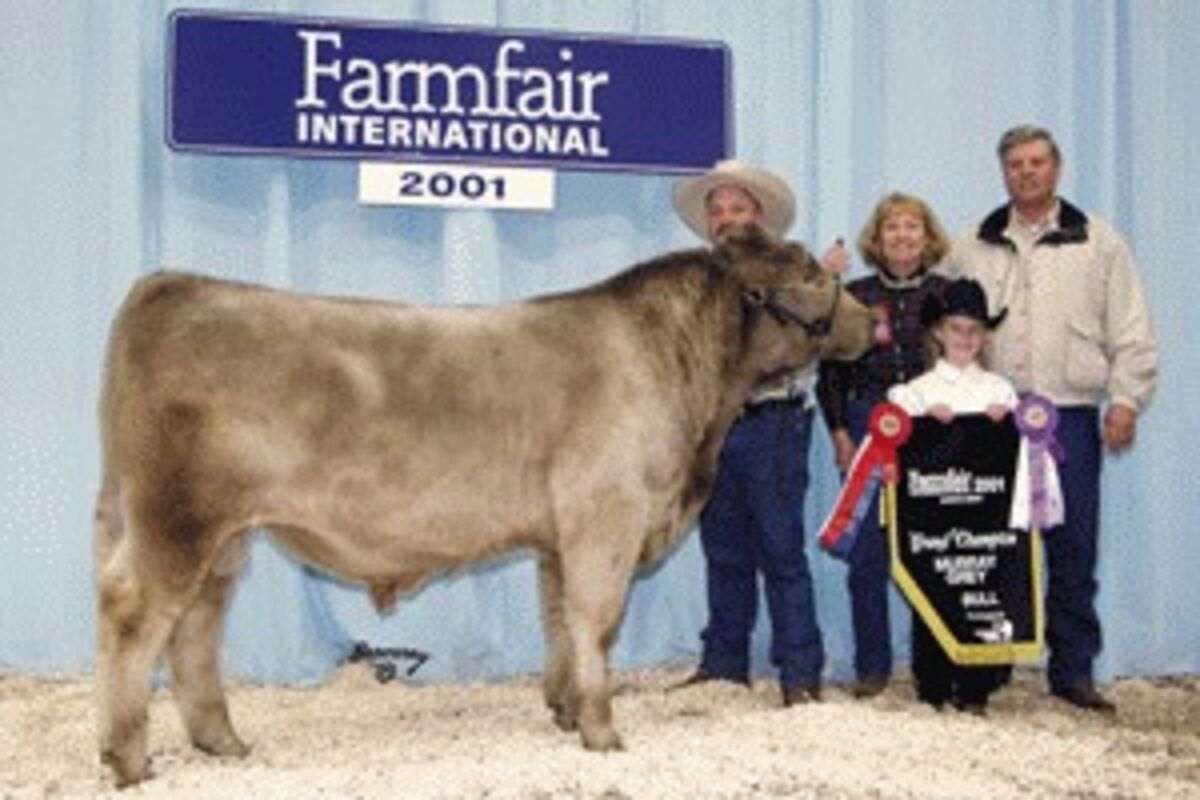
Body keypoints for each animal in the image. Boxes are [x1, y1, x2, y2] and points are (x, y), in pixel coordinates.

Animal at [93, 226, 873, 785]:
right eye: (809, 271)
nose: (871, 322)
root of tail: (173, 283)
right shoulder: (606, 517)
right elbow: (596, 622)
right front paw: (603, 732)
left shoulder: (560, 535)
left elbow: (560, 620)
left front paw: (564, 712)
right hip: (177, 522)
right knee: (135, 617)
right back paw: (128, 760)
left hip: (220, 538)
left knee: (195, 629)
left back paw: (221, 742)